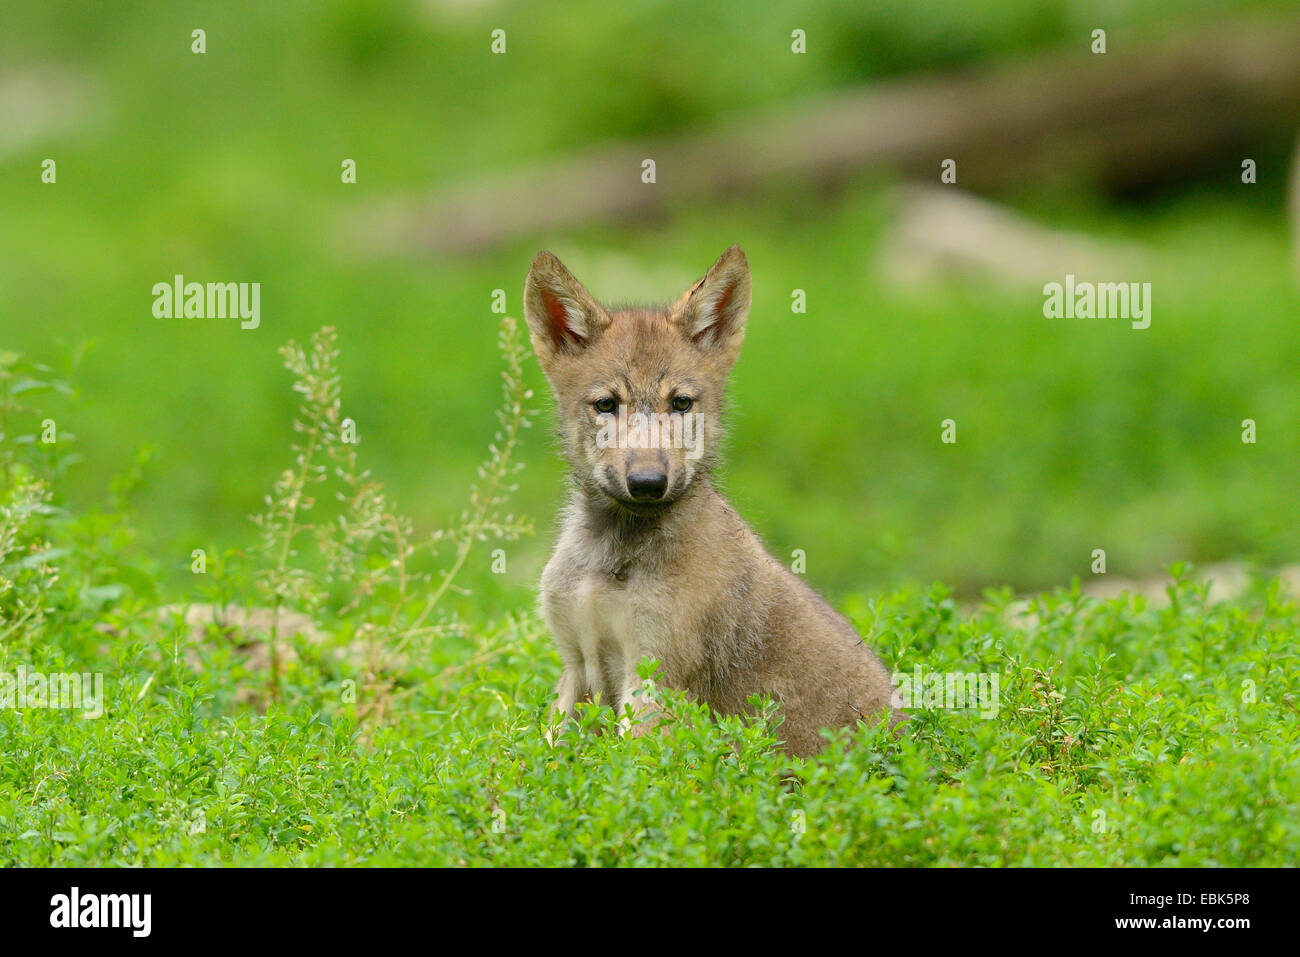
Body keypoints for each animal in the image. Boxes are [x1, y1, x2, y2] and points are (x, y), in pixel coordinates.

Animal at [524, 245, 902, 756]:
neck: (611, 558)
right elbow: (528, 761)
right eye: (606, 405)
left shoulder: (654, 679)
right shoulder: (576, 667)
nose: (648, 482)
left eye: (681, 403)